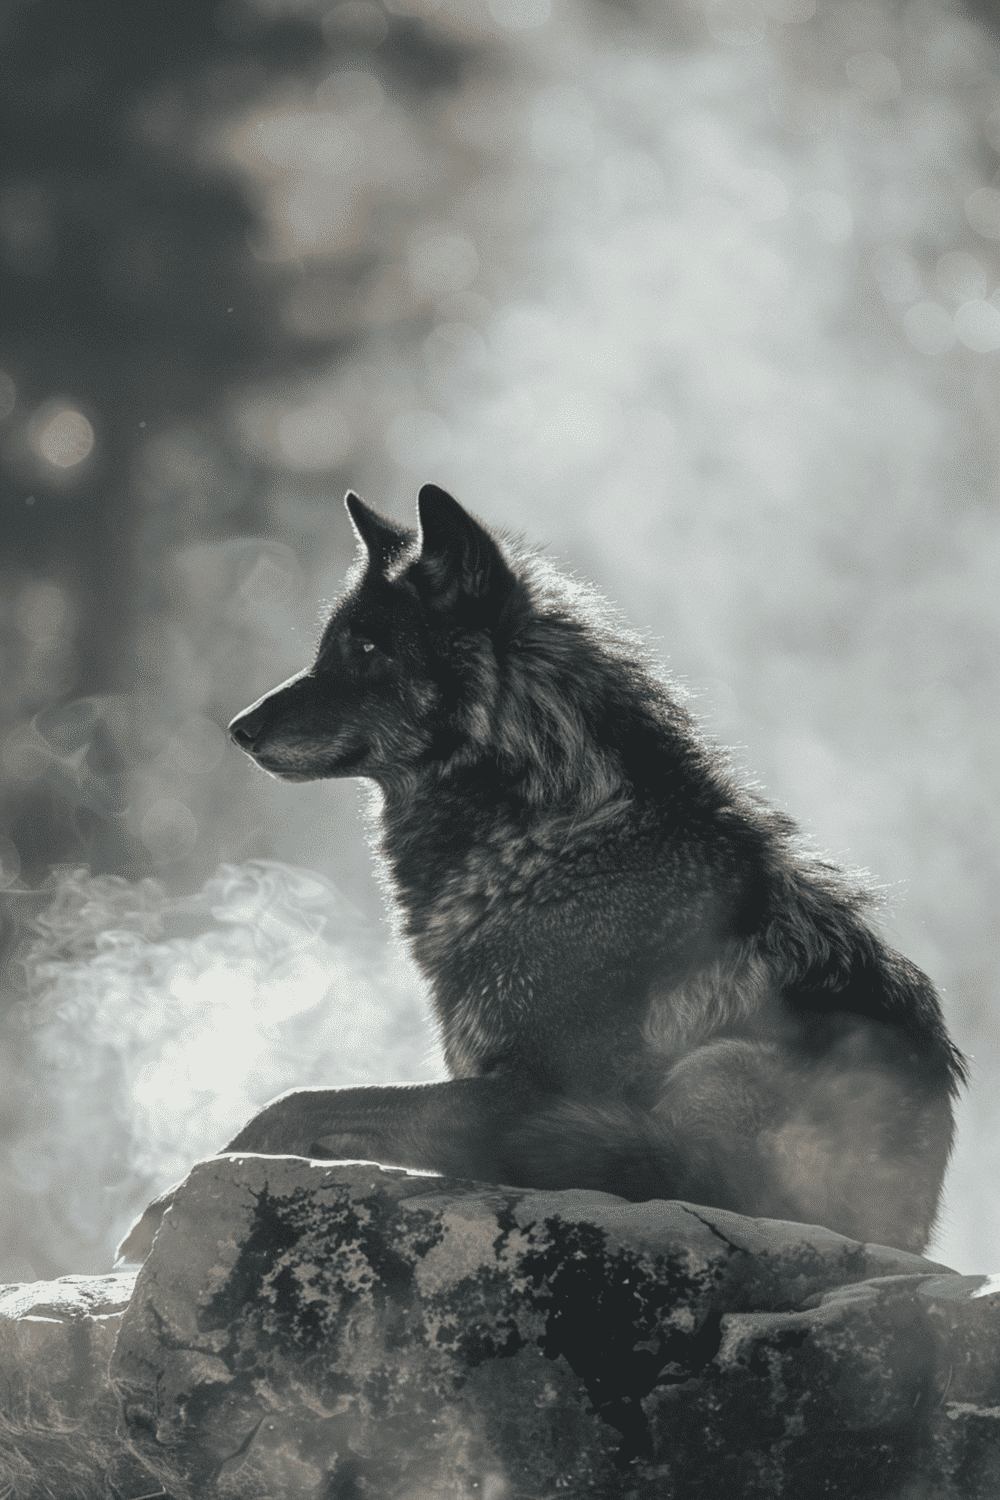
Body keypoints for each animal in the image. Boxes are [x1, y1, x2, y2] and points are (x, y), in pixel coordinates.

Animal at [119, 483, 966, 1263]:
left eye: (367, 650)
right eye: (333, 646)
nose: (240, 729)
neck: (545, 835)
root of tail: (917, 1225)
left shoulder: (529, 1088)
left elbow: (302, 1103)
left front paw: (166, 1206)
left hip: (717, 1074)